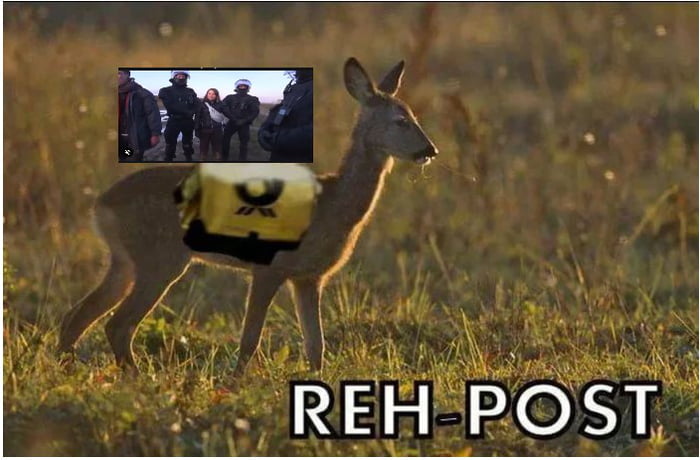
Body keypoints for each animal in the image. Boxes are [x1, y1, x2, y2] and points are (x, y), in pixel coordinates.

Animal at [57, 57, 438, 376]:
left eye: (414, 116)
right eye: (401, 121)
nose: (430, 150)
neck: (332, 204)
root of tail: (101, 206)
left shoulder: (309, 277)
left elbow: (316, 346)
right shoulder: (270, 268)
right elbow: (249, 341)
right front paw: (235, 385)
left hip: (126, 260)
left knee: (77, 316)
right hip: (160, 258)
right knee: (117, 324)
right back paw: (137, 380)